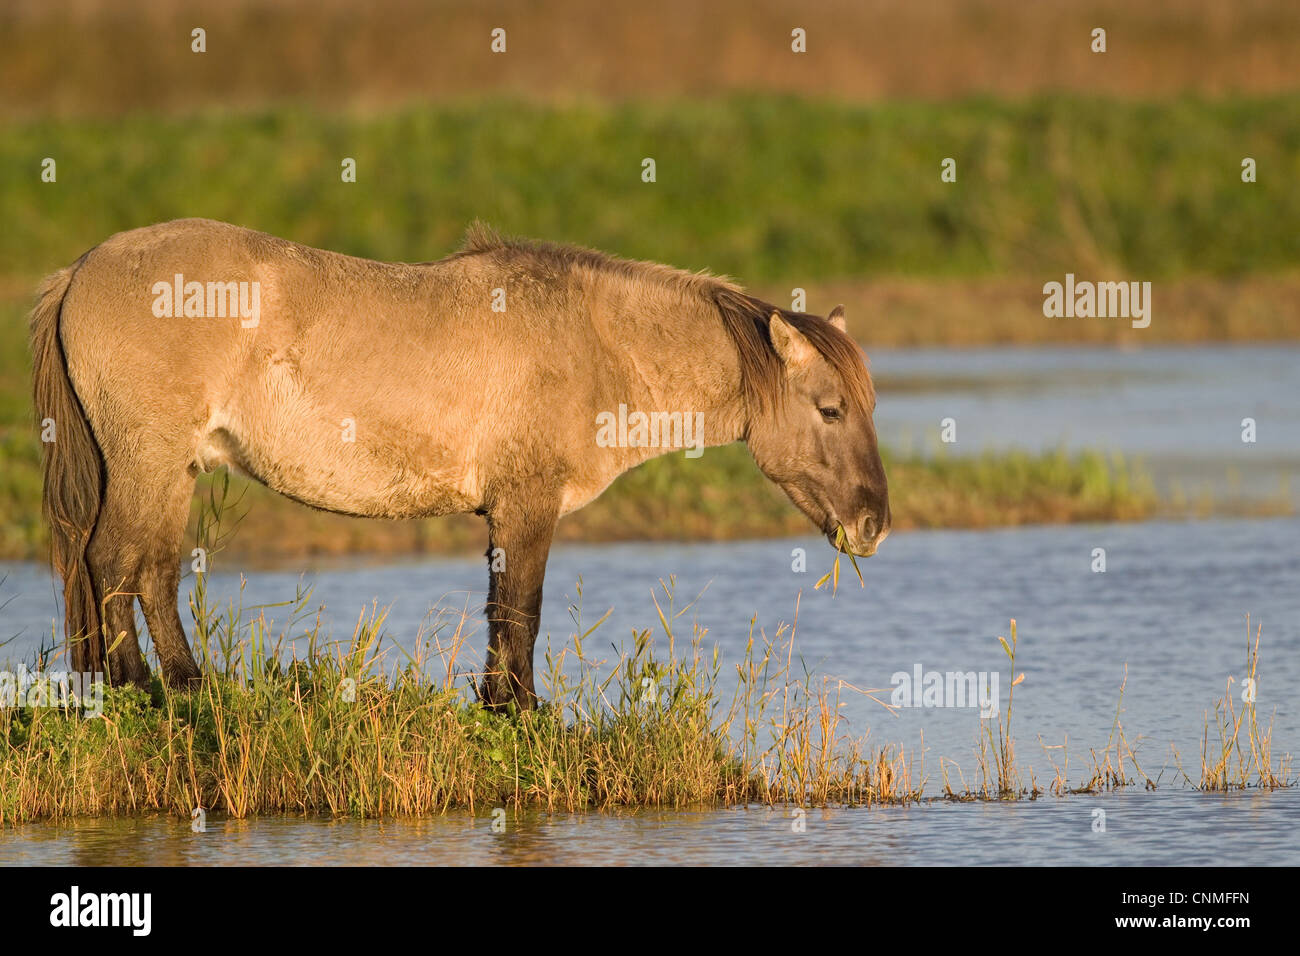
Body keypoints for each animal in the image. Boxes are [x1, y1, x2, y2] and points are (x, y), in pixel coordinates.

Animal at [31, 218, 890, 709]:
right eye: (831, 410)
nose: (873, 524)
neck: (595, 343)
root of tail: (79, 270)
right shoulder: (527, 507)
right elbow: (522, 610)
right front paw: (522, 710)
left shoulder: (507, 515)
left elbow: (502, 609)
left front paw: (498, 703)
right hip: (146, 462)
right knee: (114, 560)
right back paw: (140, 688)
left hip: (172, 471)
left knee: (152, 570)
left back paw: (187, 687)